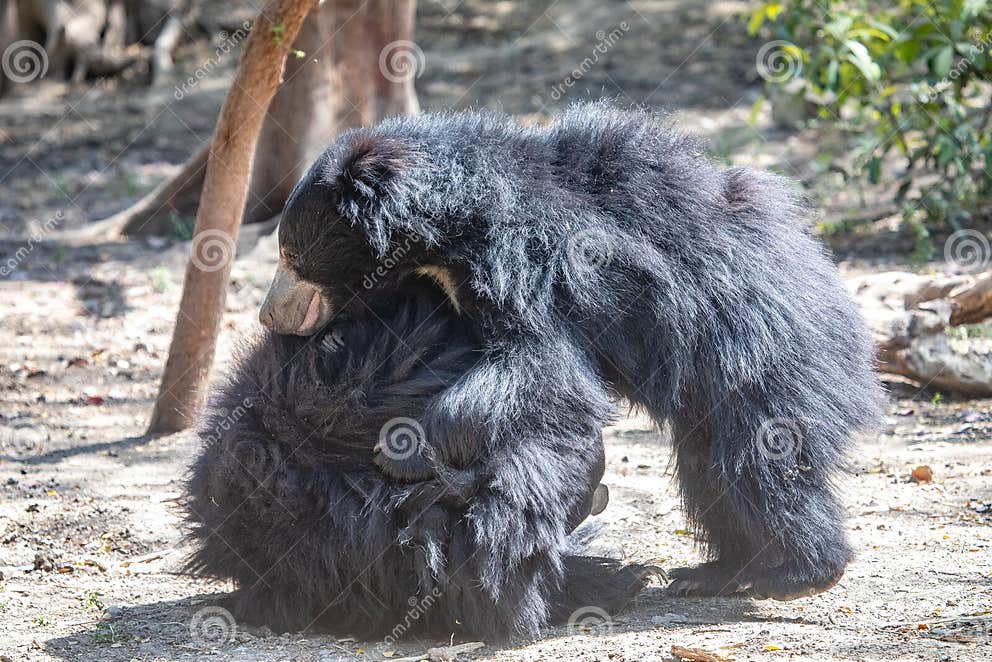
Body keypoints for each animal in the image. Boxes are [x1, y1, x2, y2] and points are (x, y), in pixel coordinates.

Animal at [258, 102, 882, 602]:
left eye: (291, 255)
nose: (268, 315)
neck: (443, 230)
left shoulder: (522, 262)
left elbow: (541, 364)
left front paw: (403, 452)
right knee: (712, 468)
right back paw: (715, 573)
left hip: (758, 353)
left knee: (758, 460)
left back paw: (797, 573)